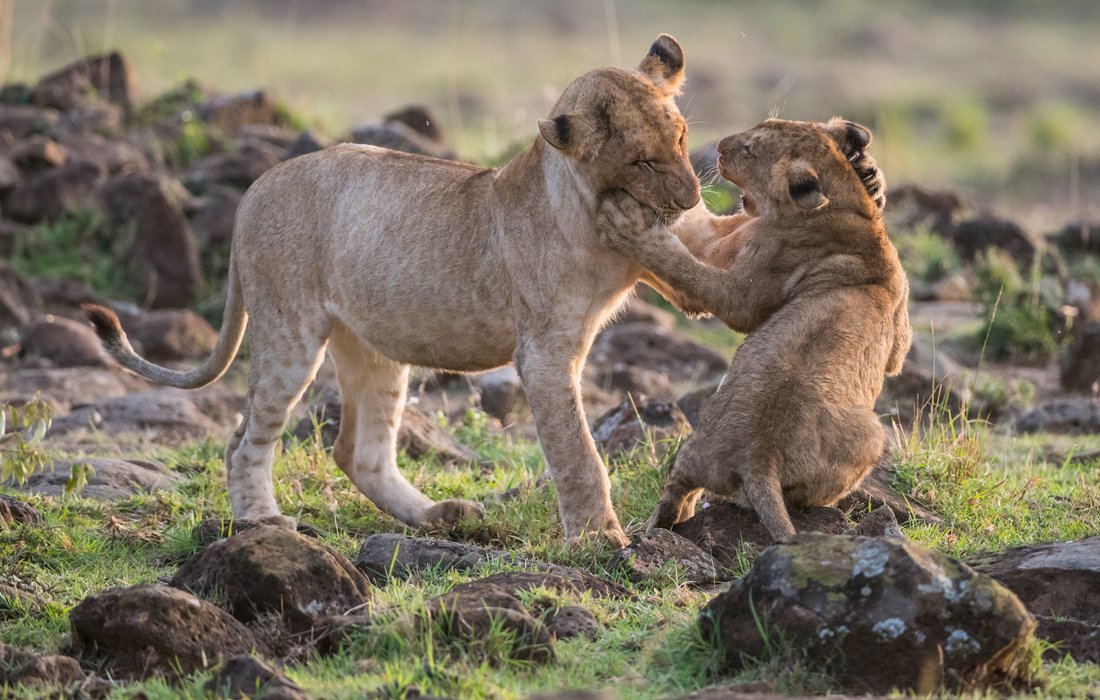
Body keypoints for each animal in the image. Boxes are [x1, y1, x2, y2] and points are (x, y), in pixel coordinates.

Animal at [85, 35, 700, 546]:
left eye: (681, 137)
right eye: (643, 161)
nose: (692, 196)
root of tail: (255, 188)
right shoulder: (545, 353)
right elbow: (577, 452)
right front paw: (599, 539)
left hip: (373, 347)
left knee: (359, 453)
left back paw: (438, 516)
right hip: (289, 335)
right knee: (243, 442)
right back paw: (262, 520)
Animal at [597, 117, 911, 541]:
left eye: (750, 149)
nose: (718, 146)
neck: (849, 208)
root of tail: (758, 456)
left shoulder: (748, 289)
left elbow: (689, 271)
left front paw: (628, 227)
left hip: (871, 438)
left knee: (679, 493)